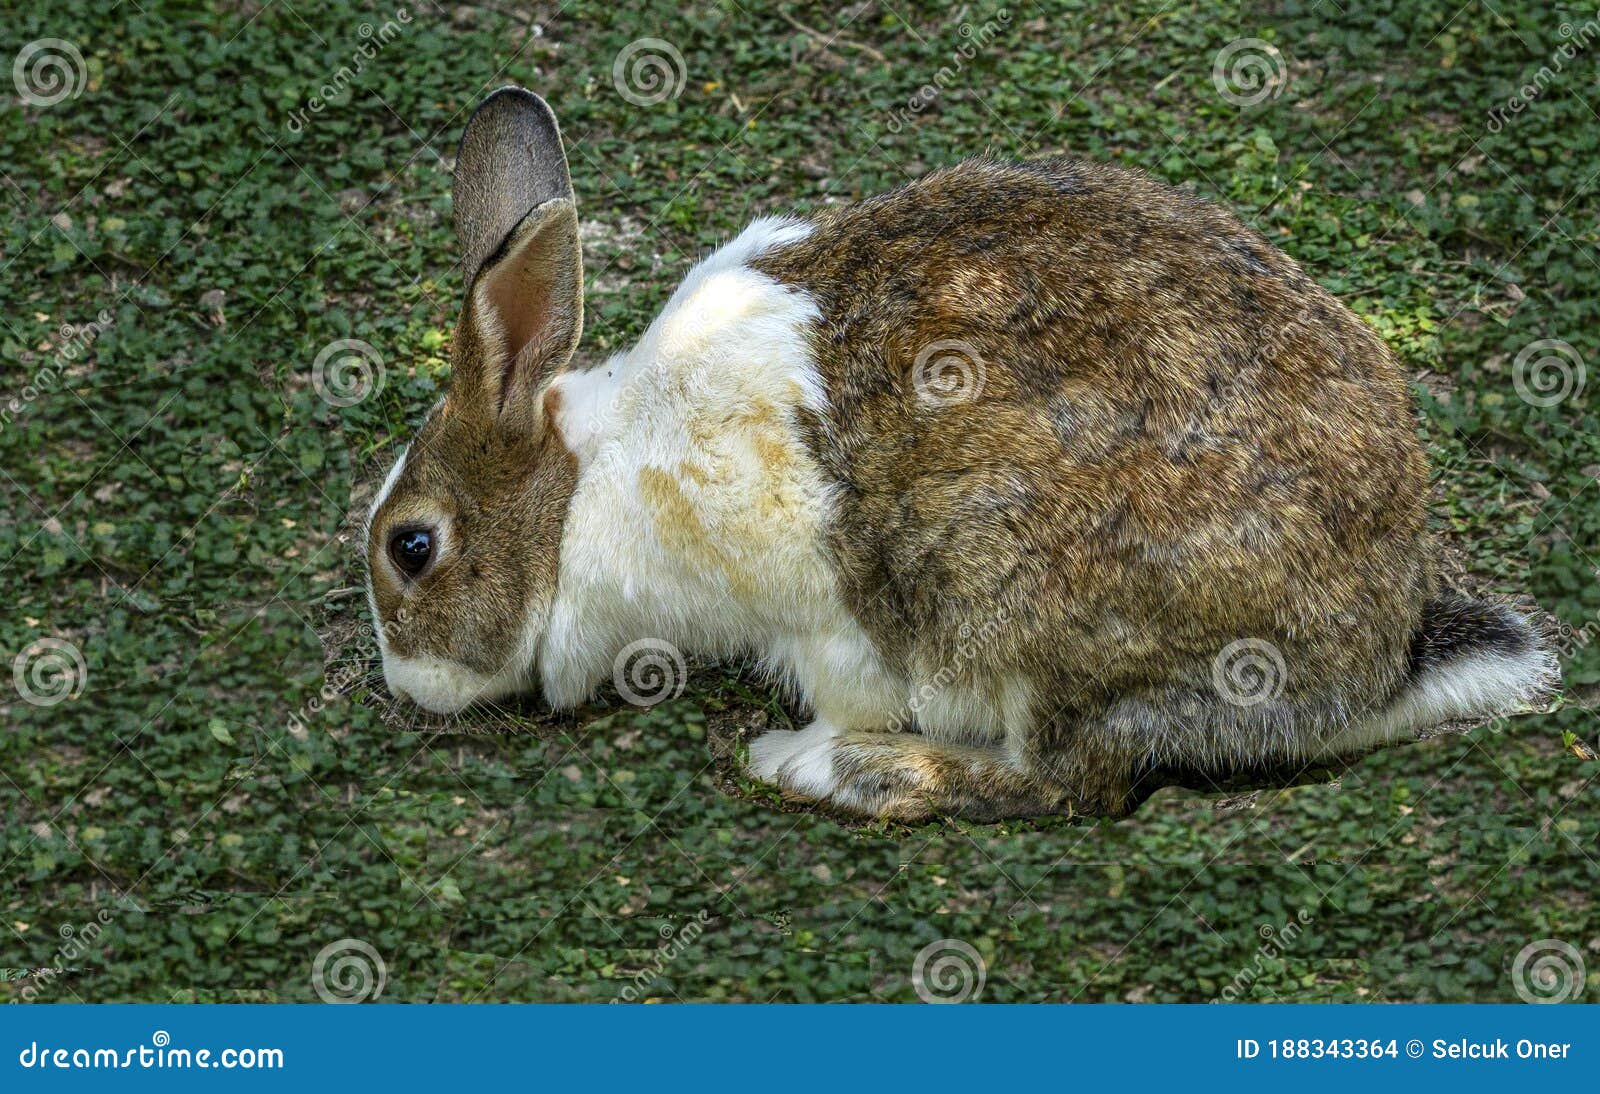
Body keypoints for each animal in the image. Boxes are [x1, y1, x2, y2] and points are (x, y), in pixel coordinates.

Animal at [364, 86, 1558, 821]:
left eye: (412, 546)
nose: (406, 684)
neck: (580, 489)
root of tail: (1377, 662)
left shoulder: (820, 617)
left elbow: (854, 680)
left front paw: (816, 748)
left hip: (1028, 611)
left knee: (1070, 782)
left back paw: (832, 771)